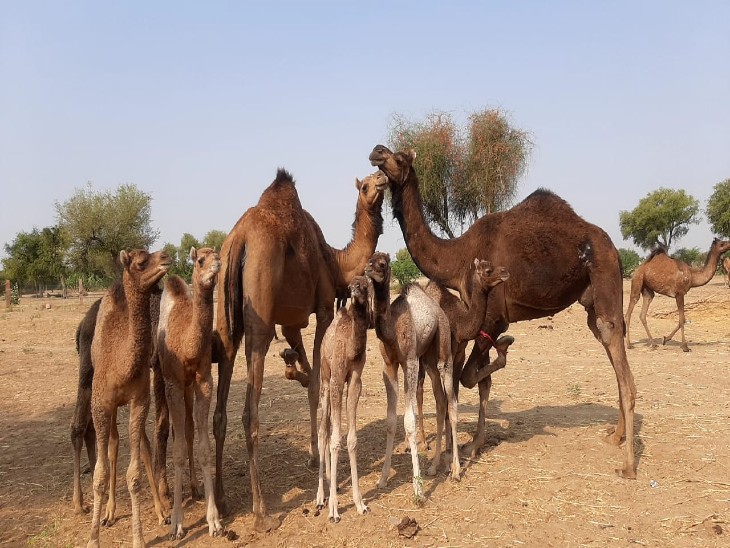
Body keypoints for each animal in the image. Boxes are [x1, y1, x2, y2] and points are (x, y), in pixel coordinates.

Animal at [87, 249, 171, 548]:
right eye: (141, 262)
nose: (167, 256)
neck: (121, 365)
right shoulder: (100, 405)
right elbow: (99, 474)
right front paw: (93, 540)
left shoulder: (139, 400)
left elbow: (134, 473)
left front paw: (139, 538)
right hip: (111, 408)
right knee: (113, 444)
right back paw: (109, 512)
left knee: (143, 444)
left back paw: (161, 511)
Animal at [213, 169, 386, 530]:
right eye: (365, 185)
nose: (381, 177)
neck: (335, 261)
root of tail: (238, 240)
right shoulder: (321, 309)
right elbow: (317, 384)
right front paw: (314, 458)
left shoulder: (292, 324)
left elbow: (309, 375)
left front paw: (292, 365)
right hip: (260, 319)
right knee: (249, 411)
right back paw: (261, 512)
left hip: (225, 317)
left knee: (220, 407)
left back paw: (221, 503)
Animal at [365, 251, 459, 502]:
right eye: (369, 259)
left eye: (383, 263)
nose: (368, 270)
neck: (392, 329)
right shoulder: (389, 366)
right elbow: (390, 420)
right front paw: (382, 479)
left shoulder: (409, 362)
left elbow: (409, 420)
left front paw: (418, 489)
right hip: (428, 359)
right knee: (440, 403)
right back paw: (434, 466)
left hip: (443, 349)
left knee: (452, 403)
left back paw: (456, 470)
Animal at [369, 144, 637, 480]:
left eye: (399, 158)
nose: (377, 152)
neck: (458, 256)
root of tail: (614, 249)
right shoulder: (482, 317)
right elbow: (480, 381)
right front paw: (473, 445)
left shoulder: (494, 315)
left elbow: (470, 377)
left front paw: (463, 449)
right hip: (590, 299)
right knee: (610, 346)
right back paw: (616, 435)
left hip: (605, 275)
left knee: (613, 339)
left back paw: (628, 464)